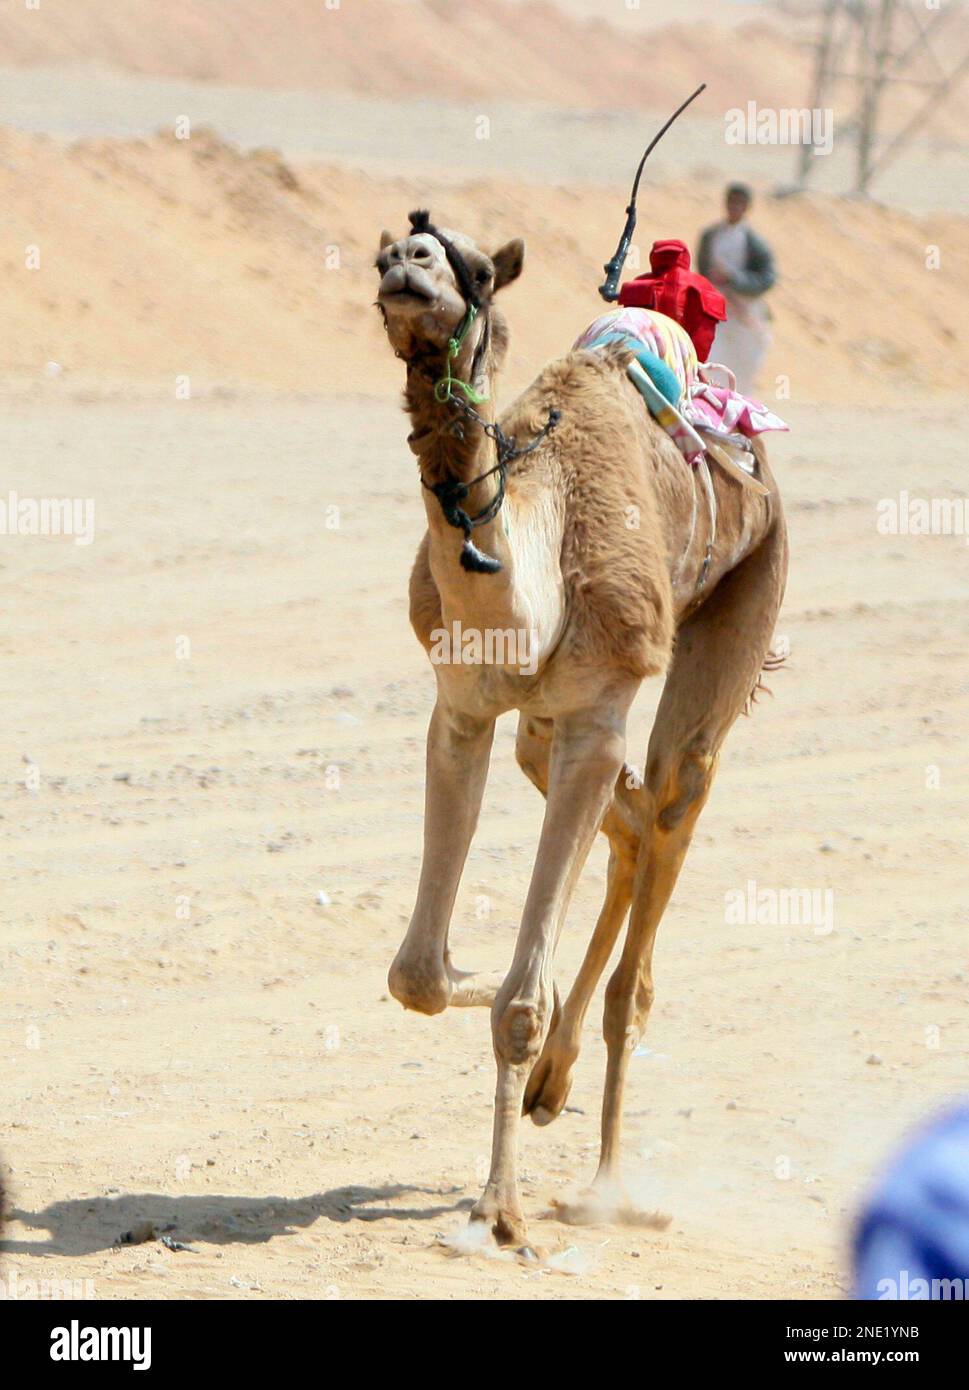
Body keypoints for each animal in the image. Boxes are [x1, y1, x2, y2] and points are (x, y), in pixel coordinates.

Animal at [374, 211, 788, 1249]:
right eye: (382, 257)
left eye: (480, 272)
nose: (409, 264)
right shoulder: (462, 710)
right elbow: (418, 976)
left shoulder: (599, 711)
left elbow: (516, 1002)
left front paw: (499, 1210)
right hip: (537, 729)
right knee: (629, 824)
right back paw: (552, 1091)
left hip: (745, 591)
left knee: (671, 804)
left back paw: (607, 1183)